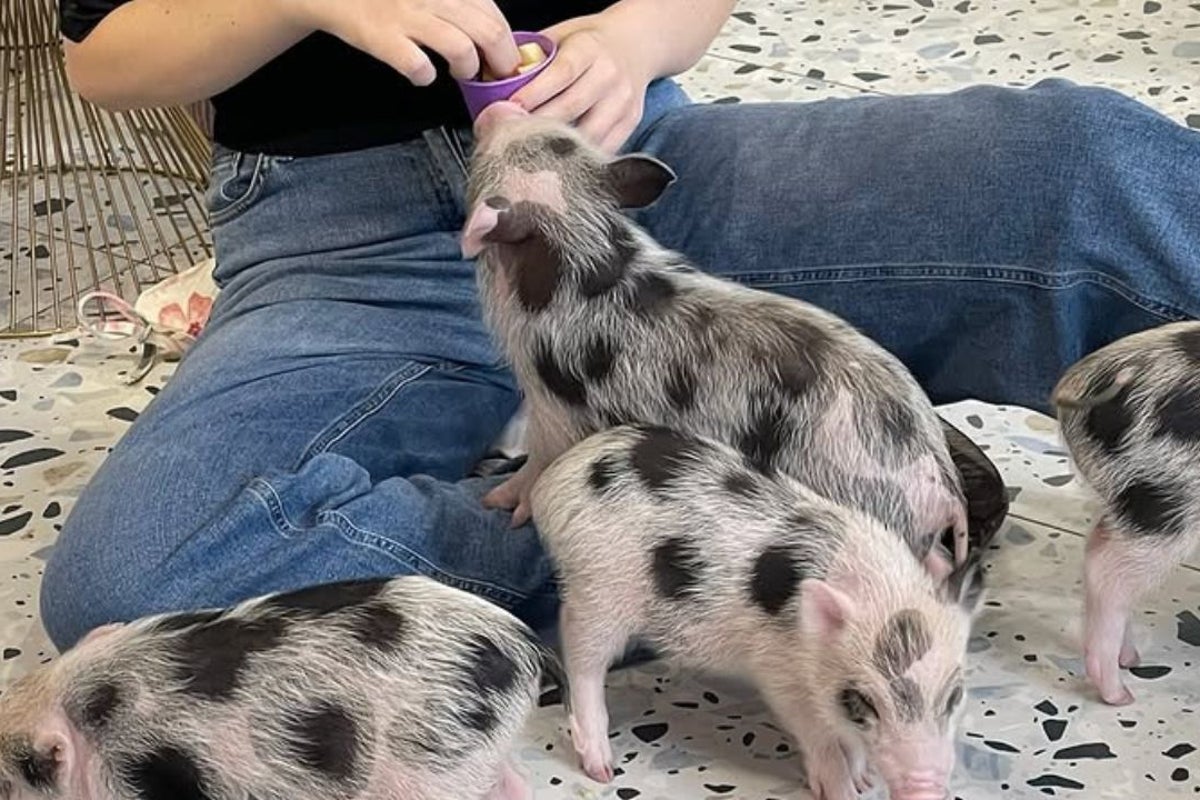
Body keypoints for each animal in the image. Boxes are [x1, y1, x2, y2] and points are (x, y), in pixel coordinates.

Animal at [460, 101, 974, 569]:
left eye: (486, 160)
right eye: (561, 139)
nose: (496, 107)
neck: (579, 260)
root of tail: (943, 485)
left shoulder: (556, 410)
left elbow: (537, 465)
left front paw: (498, 503)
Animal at [529, 423, 984, 800]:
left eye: (955, 695)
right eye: (864, 701)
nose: (924, 791)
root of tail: (553, 482)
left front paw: (862, 779)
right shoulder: (778, 672)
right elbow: (817, 735)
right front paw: (841, 790)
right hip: (599, 589)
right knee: (580, 656)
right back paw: (602, 770)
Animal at [1051, 320, 1200, 705]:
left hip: (1135, 501)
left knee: (1097, 549)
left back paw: (1130, 660)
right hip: (1168, 499)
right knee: (1107, 571)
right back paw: (1120, 694)